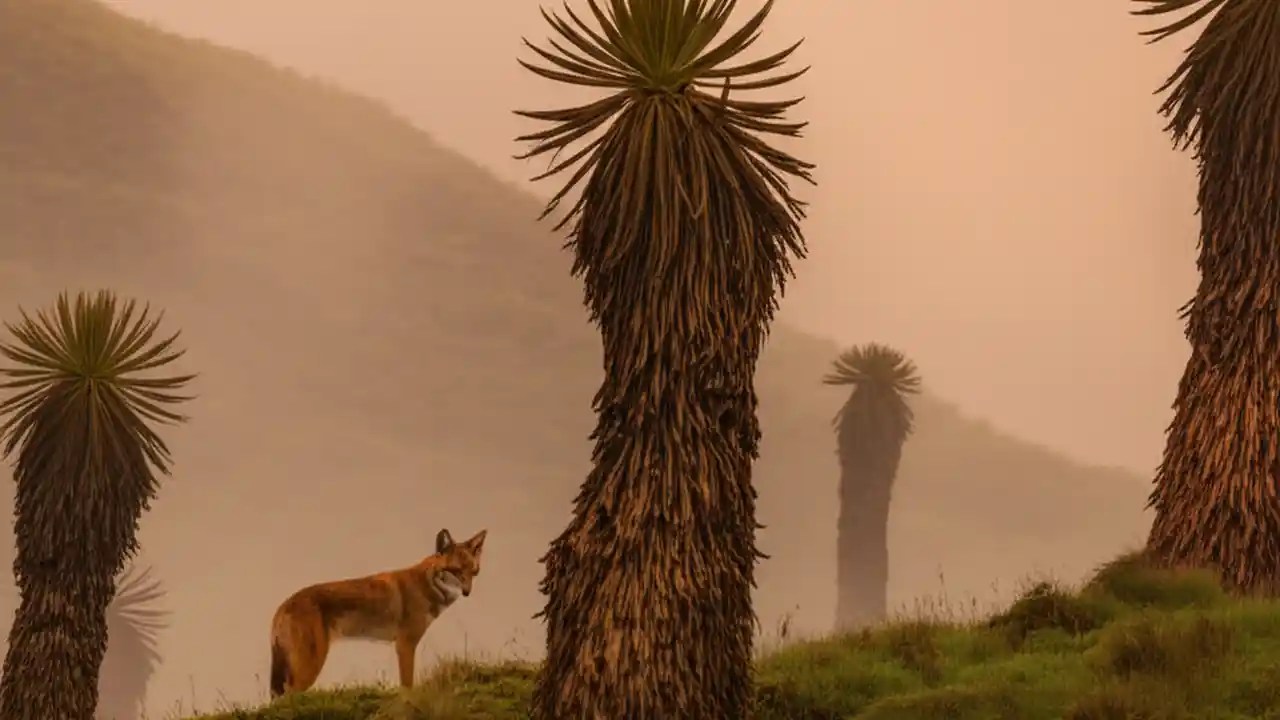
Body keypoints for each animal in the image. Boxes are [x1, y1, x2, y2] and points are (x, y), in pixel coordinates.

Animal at [268, 527, 486, 696]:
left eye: (474, 572)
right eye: (456, 571)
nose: (467, 592)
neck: (426, 585)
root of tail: (282, 606)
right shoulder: (405, 645)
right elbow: (407, 685)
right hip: (310, 667)